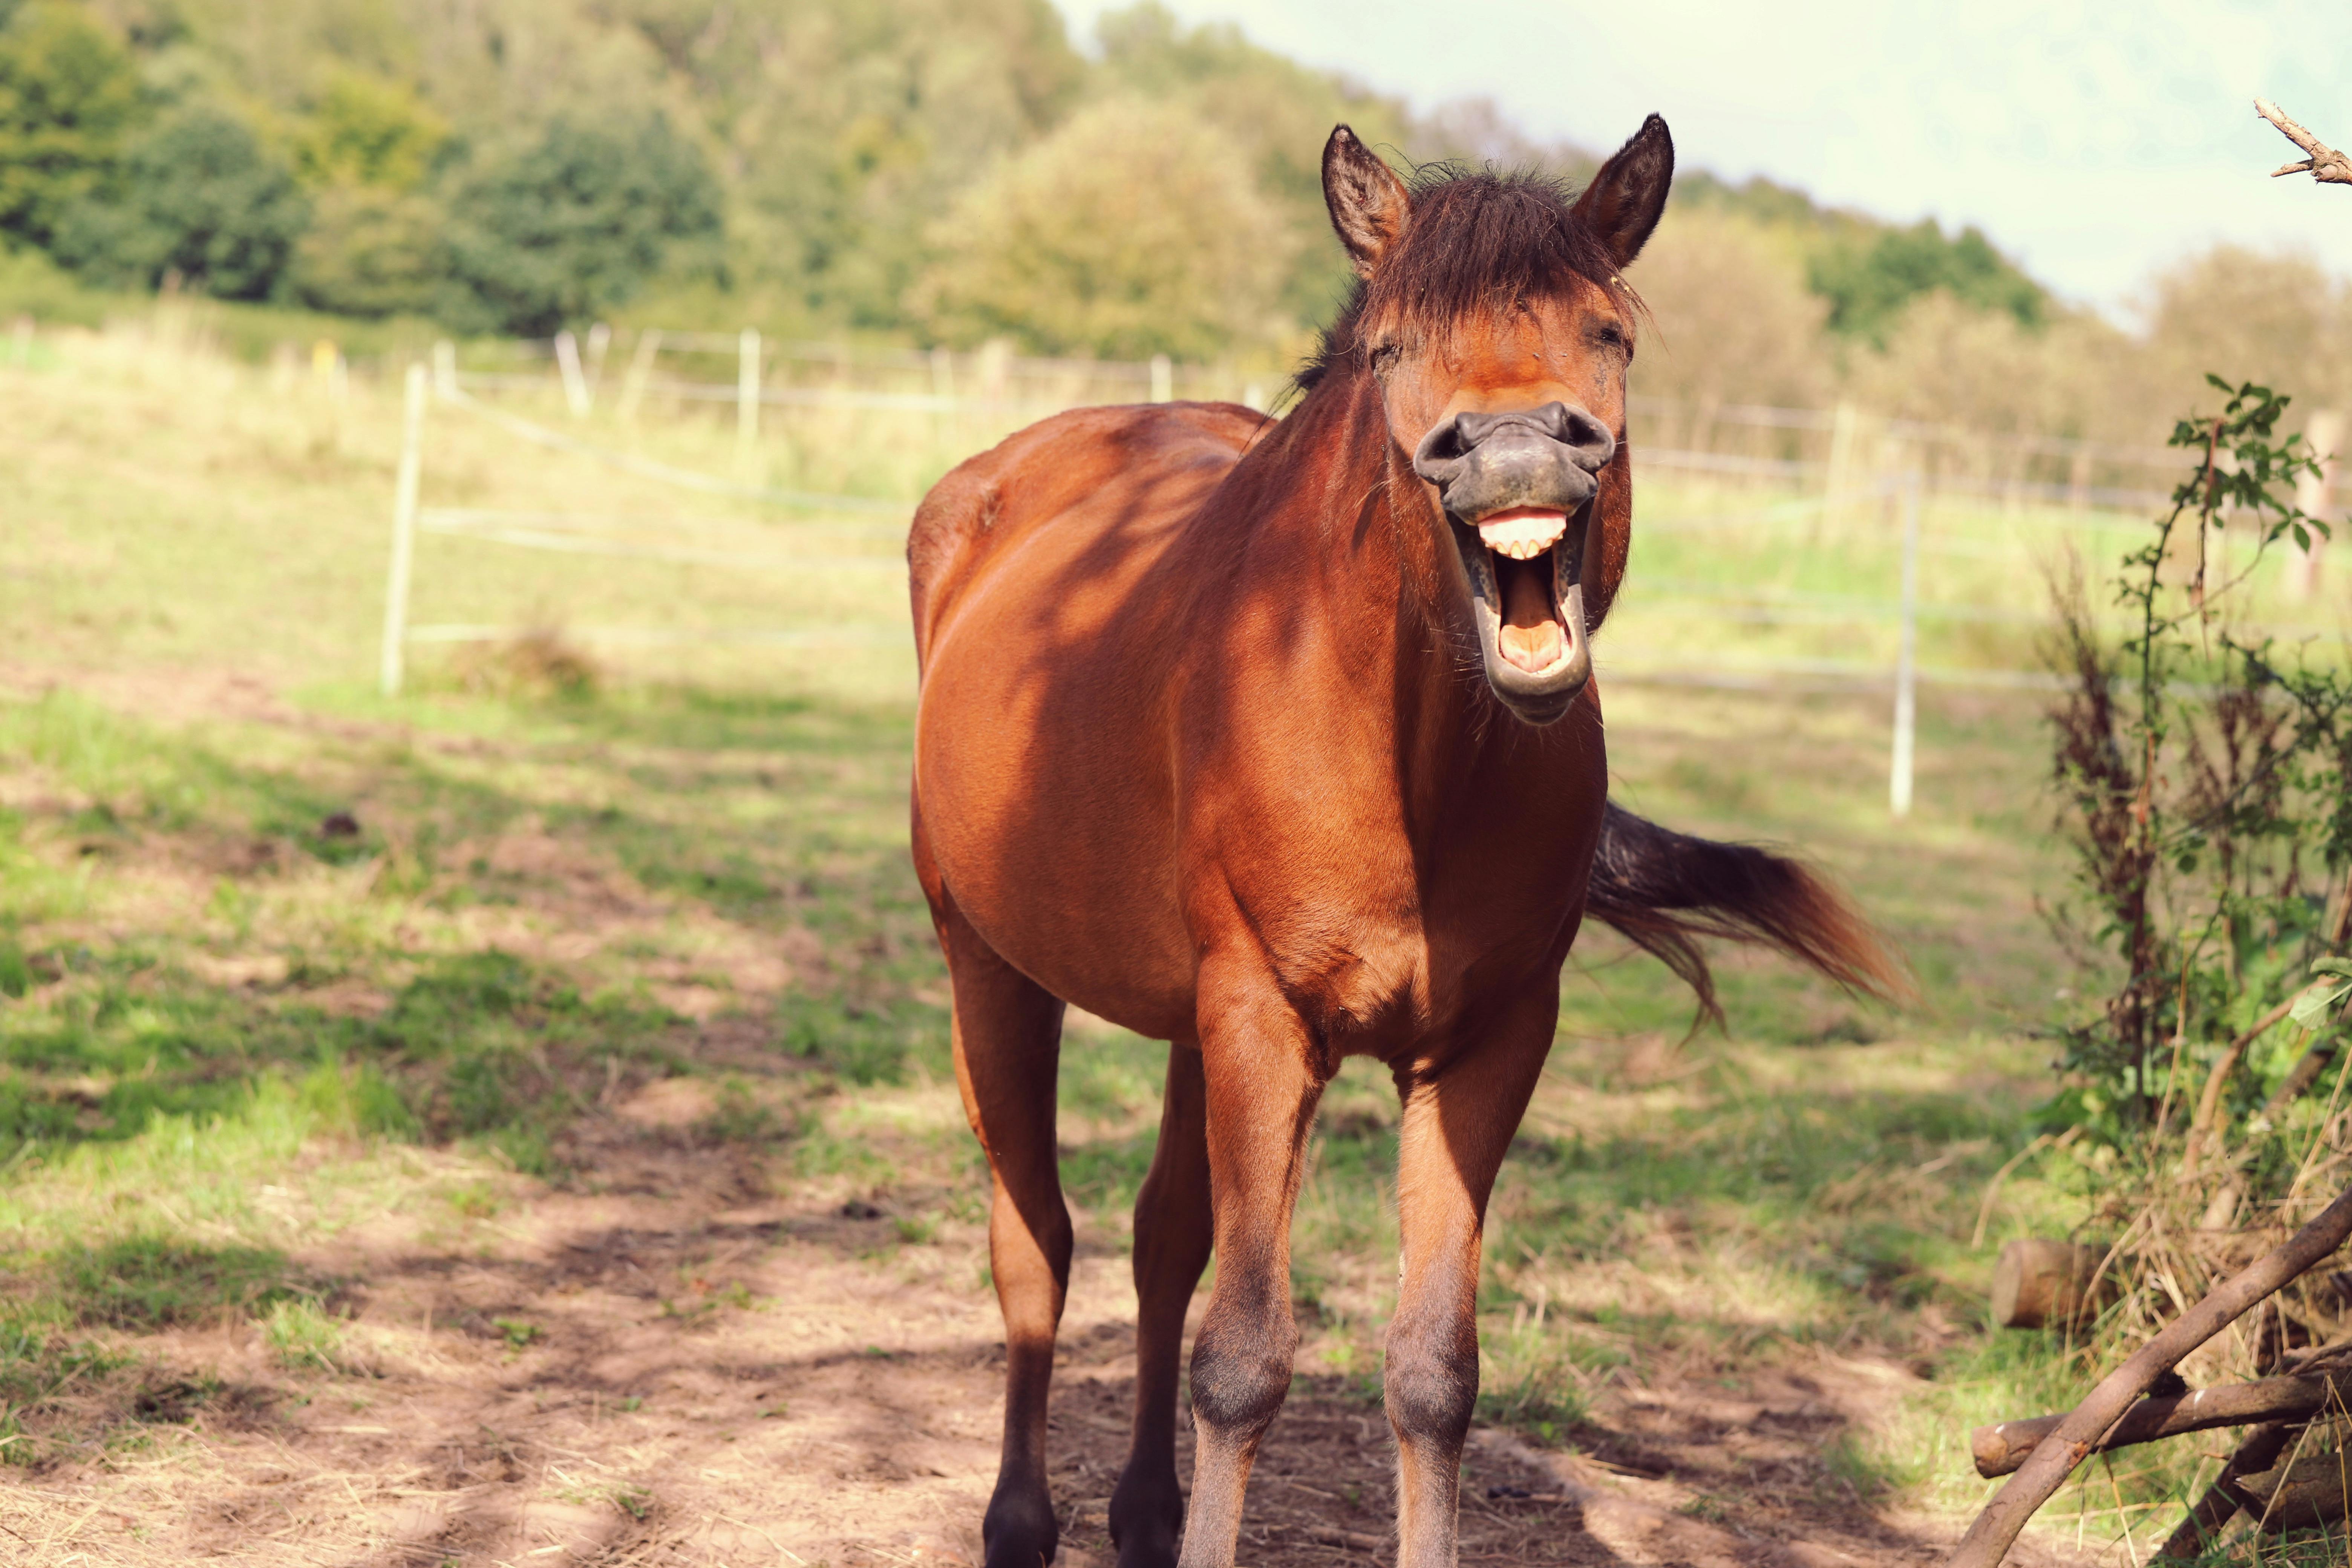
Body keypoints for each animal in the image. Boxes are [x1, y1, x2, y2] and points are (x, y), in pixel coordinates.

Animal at [905, 114, 1902, 1568]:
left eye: (1609, 333)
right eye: (1390, 347)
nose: (1513, 450)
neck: (1413, 763)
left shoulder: (1484, 1043)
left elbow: (1433, 1371)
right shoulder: (1265, 1020)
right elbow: (1243, 1359)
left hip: (1185, 1028)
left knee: (1159, 1240)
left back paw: (1143, 1514)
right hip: (992, 967)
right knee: (1034, 1236)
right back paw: (1020, 1520)